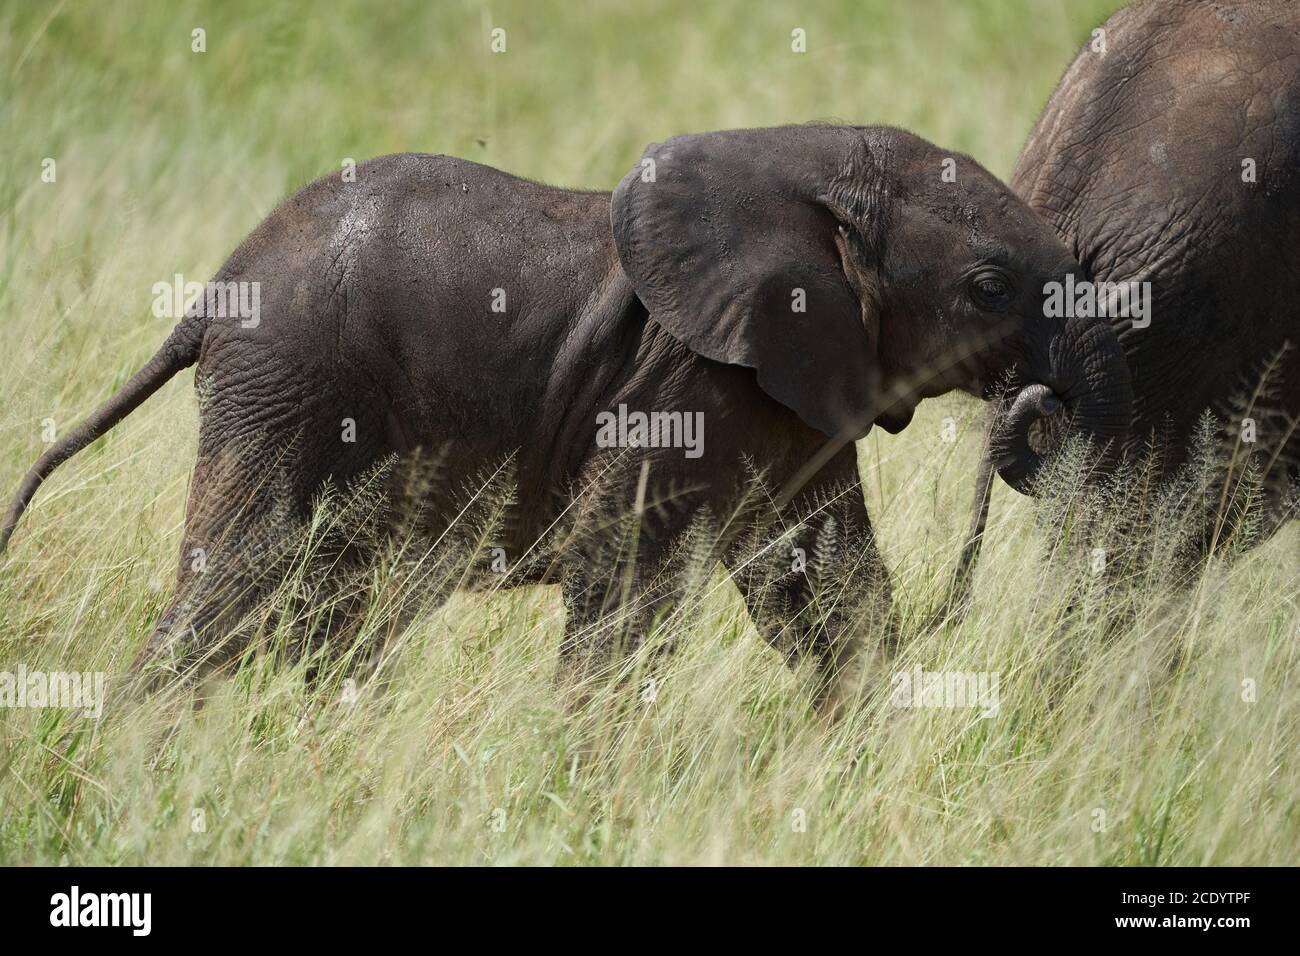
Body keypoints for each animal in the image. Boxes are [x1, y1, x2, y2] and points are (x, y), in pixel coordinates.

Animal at [0, 124, 1133, 714]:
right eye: (989, 288)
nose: (1043, 401)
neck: (812, 176)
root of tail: (210, 293)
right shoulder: (687, 383)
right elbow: (626, 582)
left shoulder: (799, 390)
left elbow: (822, 585)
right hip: (287, 386)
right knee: (236, 585)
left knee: (325, 605)